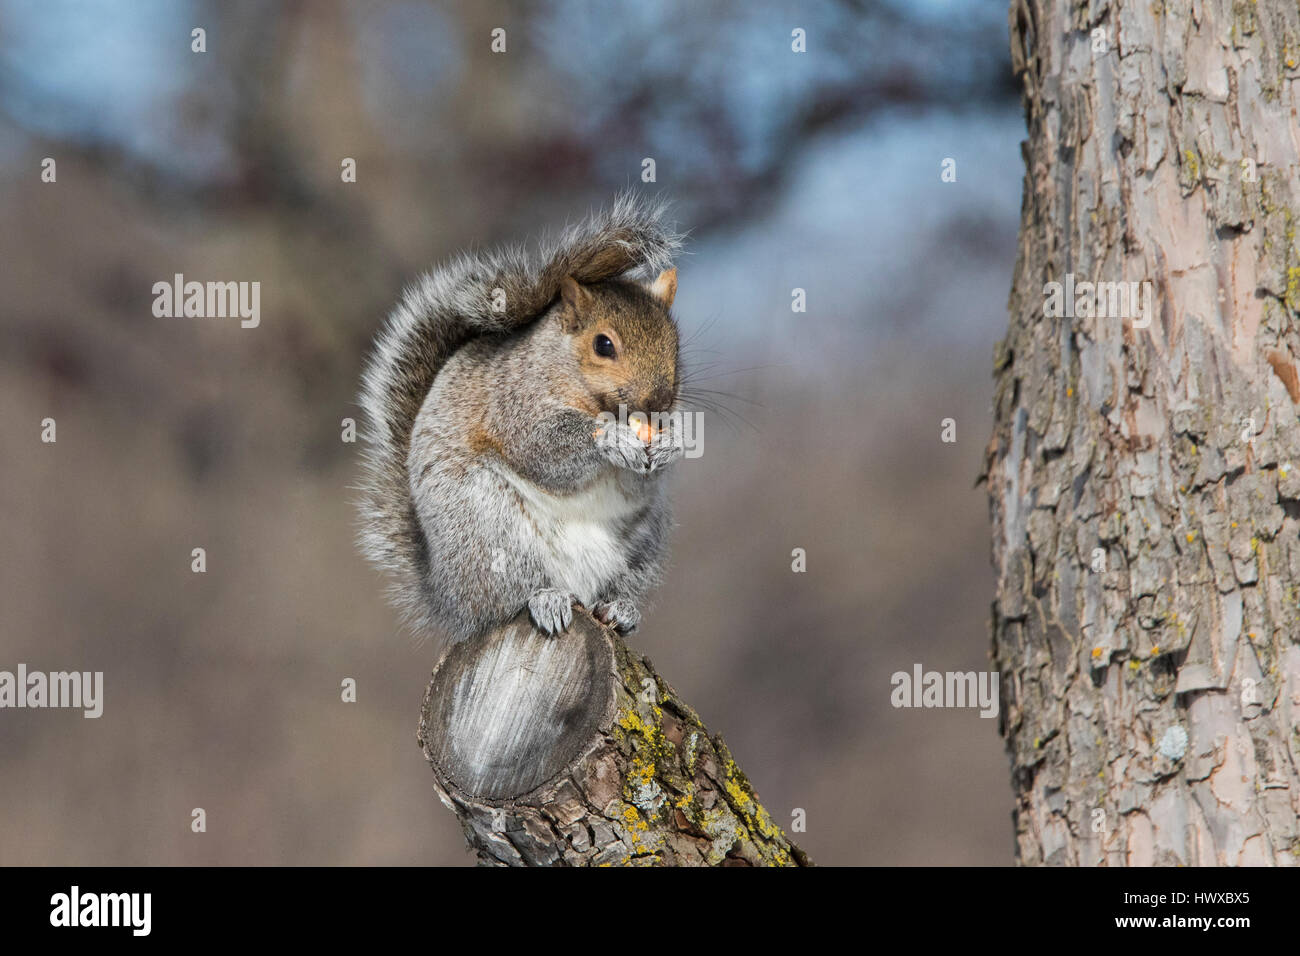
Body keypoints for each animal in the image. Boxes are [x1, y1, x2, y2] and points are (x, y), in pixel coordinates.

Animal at [358, 194, 686, 644]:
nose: (657, 401)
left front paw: (673, 442)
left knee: (613, 590)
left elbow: (641, 479)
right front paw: (612, 439)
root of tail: (447, 594)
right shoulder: (514, 405)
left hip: (642, 546)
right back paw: (545, 599)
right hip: (487, 527)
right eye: (603, 345)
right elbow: (543, 450)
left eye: (676, 344)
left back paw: (619, 608)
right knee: (508, 596)